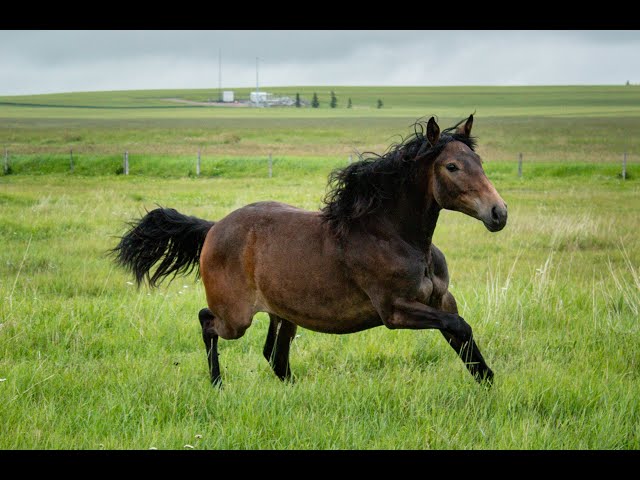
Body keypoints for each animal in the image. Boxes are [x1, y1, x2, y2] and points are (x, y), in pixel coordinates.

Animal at [111, 114, 507, 387]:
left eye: (480, 164)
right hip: (236, 318)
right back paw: (217, 384)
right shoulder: (395, 311)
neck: (395, 235)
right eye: (452, 166)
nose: (498, 213)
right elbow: (460, 328)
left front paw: (490, 386)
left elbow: (462, 337)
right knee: (207, 322)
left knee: (274, 356)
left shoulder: (441, 300)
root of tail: (213, 229)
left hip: (283, 313)